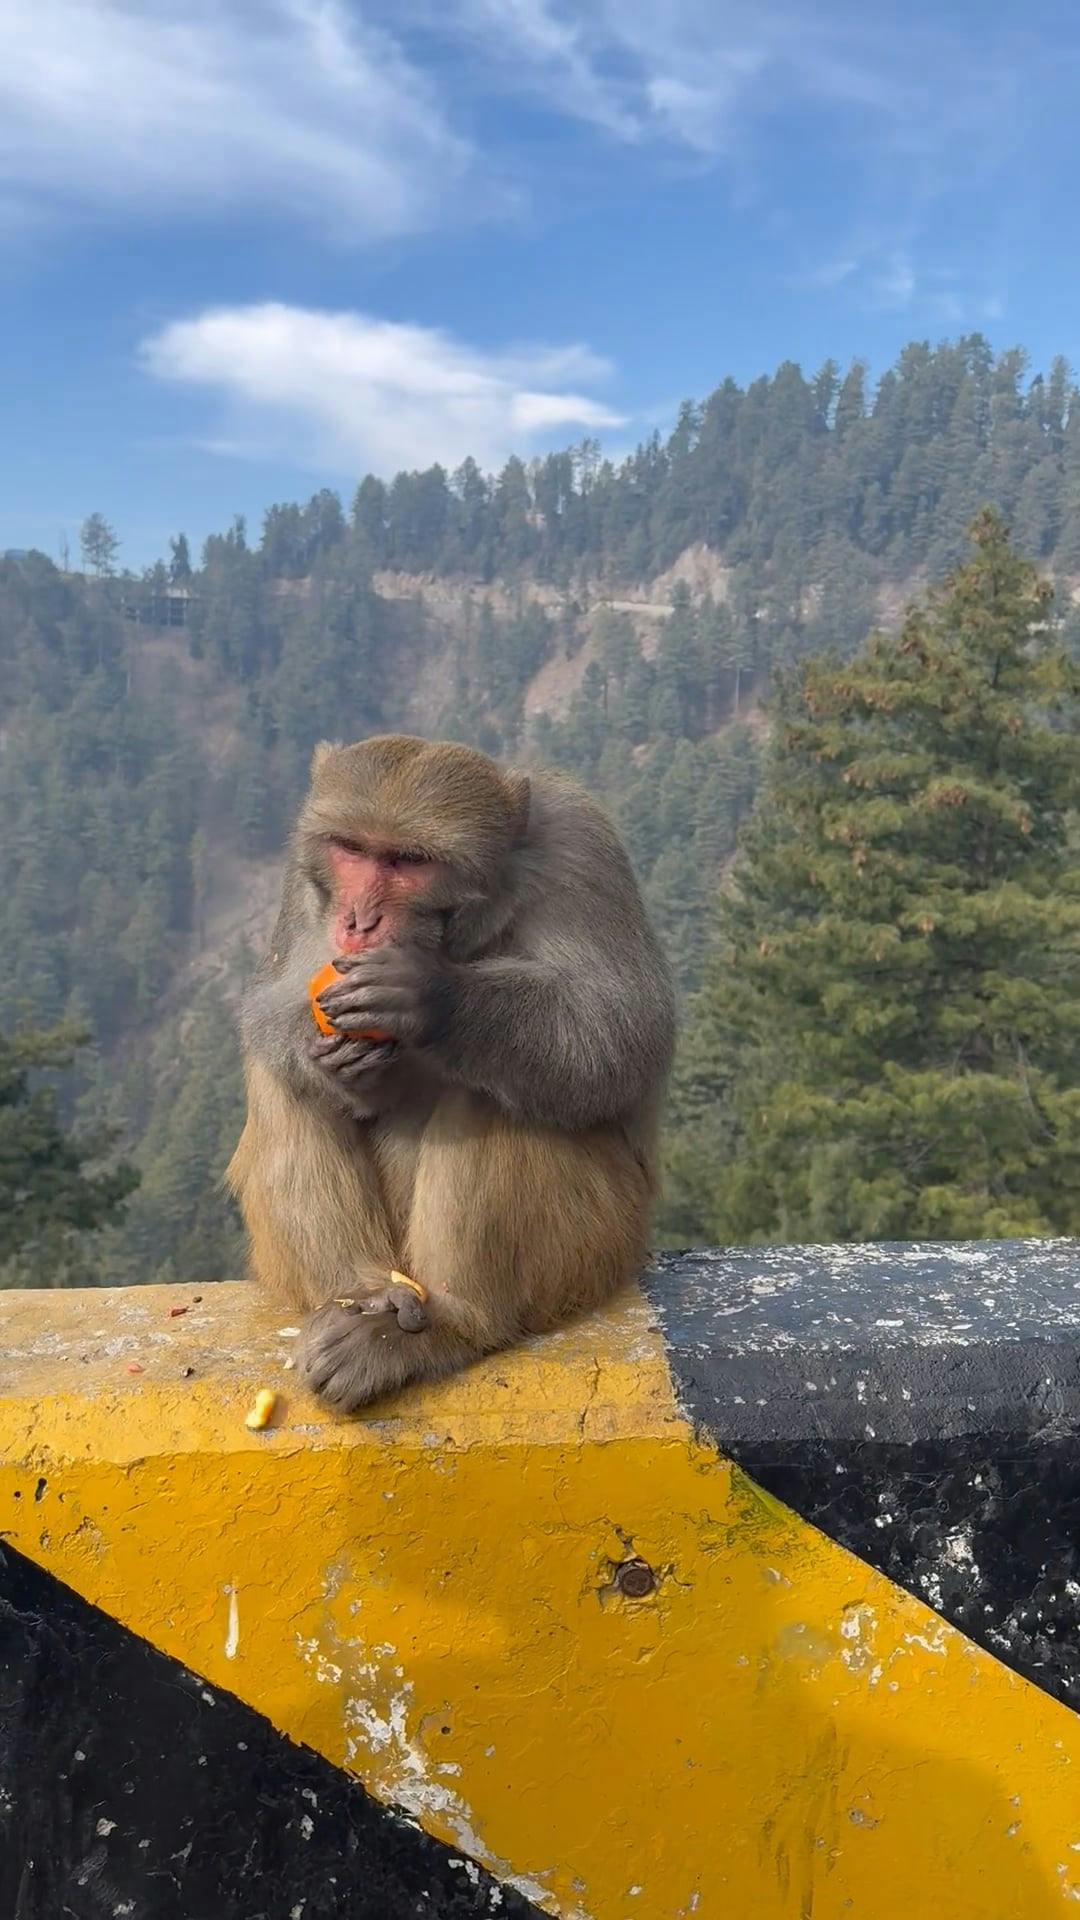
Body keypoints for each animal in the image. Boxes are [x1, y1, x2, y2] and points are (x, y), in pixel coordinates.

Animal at [225, 733, 675, 1412]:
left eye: (408, 860)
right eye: (352, 849)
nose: (358, 921)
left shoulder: (579, 845)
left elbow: (617, 1033)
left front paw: (435, 997)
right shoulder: (302, 885)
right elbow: (270, 1001)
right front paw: (335, 1062)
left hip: (601, 1239)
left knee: (498, 1089)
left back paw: (445, 1326)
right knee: (283, 1081)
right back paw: (365, 1293)